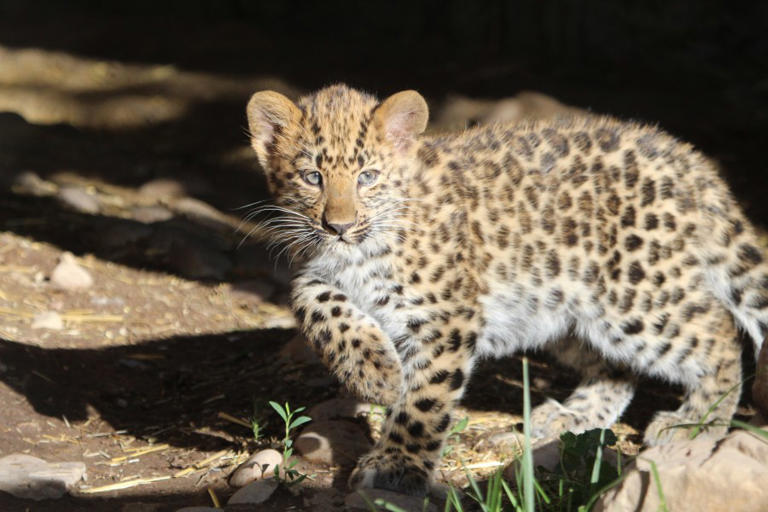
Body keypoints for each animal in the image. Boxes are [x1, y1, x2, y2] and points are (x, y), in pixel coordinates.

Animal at [245, 84, 768, 496]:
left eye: (367, 177)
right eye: (312, 177)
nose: (338, 226)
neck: (355, 255)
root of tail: (688, 161)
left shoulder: (446, 318)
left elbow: (423, 402)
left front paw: (397, 465)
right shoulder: (314, 267)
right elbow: (309, 299)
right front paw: (375, 373)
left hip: (634, 295)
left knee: (718, 334)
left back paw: (696, 421)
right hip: (565, 313)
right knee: (618, 370)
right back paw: (571, 416)